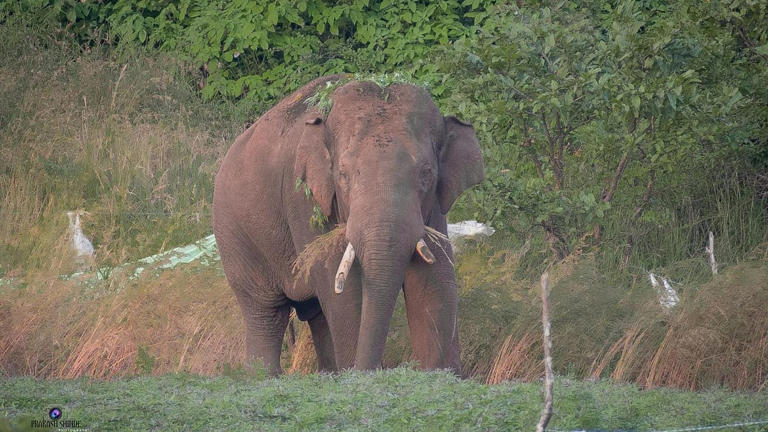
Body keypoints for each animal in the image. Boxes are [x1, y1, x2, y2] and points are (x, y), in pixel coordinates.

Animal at [213, 74, 484, 375]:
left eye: (426, 173)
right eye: (343, 174)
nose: (374, 371)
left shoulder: (434, 205)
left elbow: (433, 279)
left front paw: (442, 375)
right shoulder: (305, 201)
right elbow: (340, 287)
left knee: (316, 314)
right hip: (236, 238)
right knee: (265, 313)